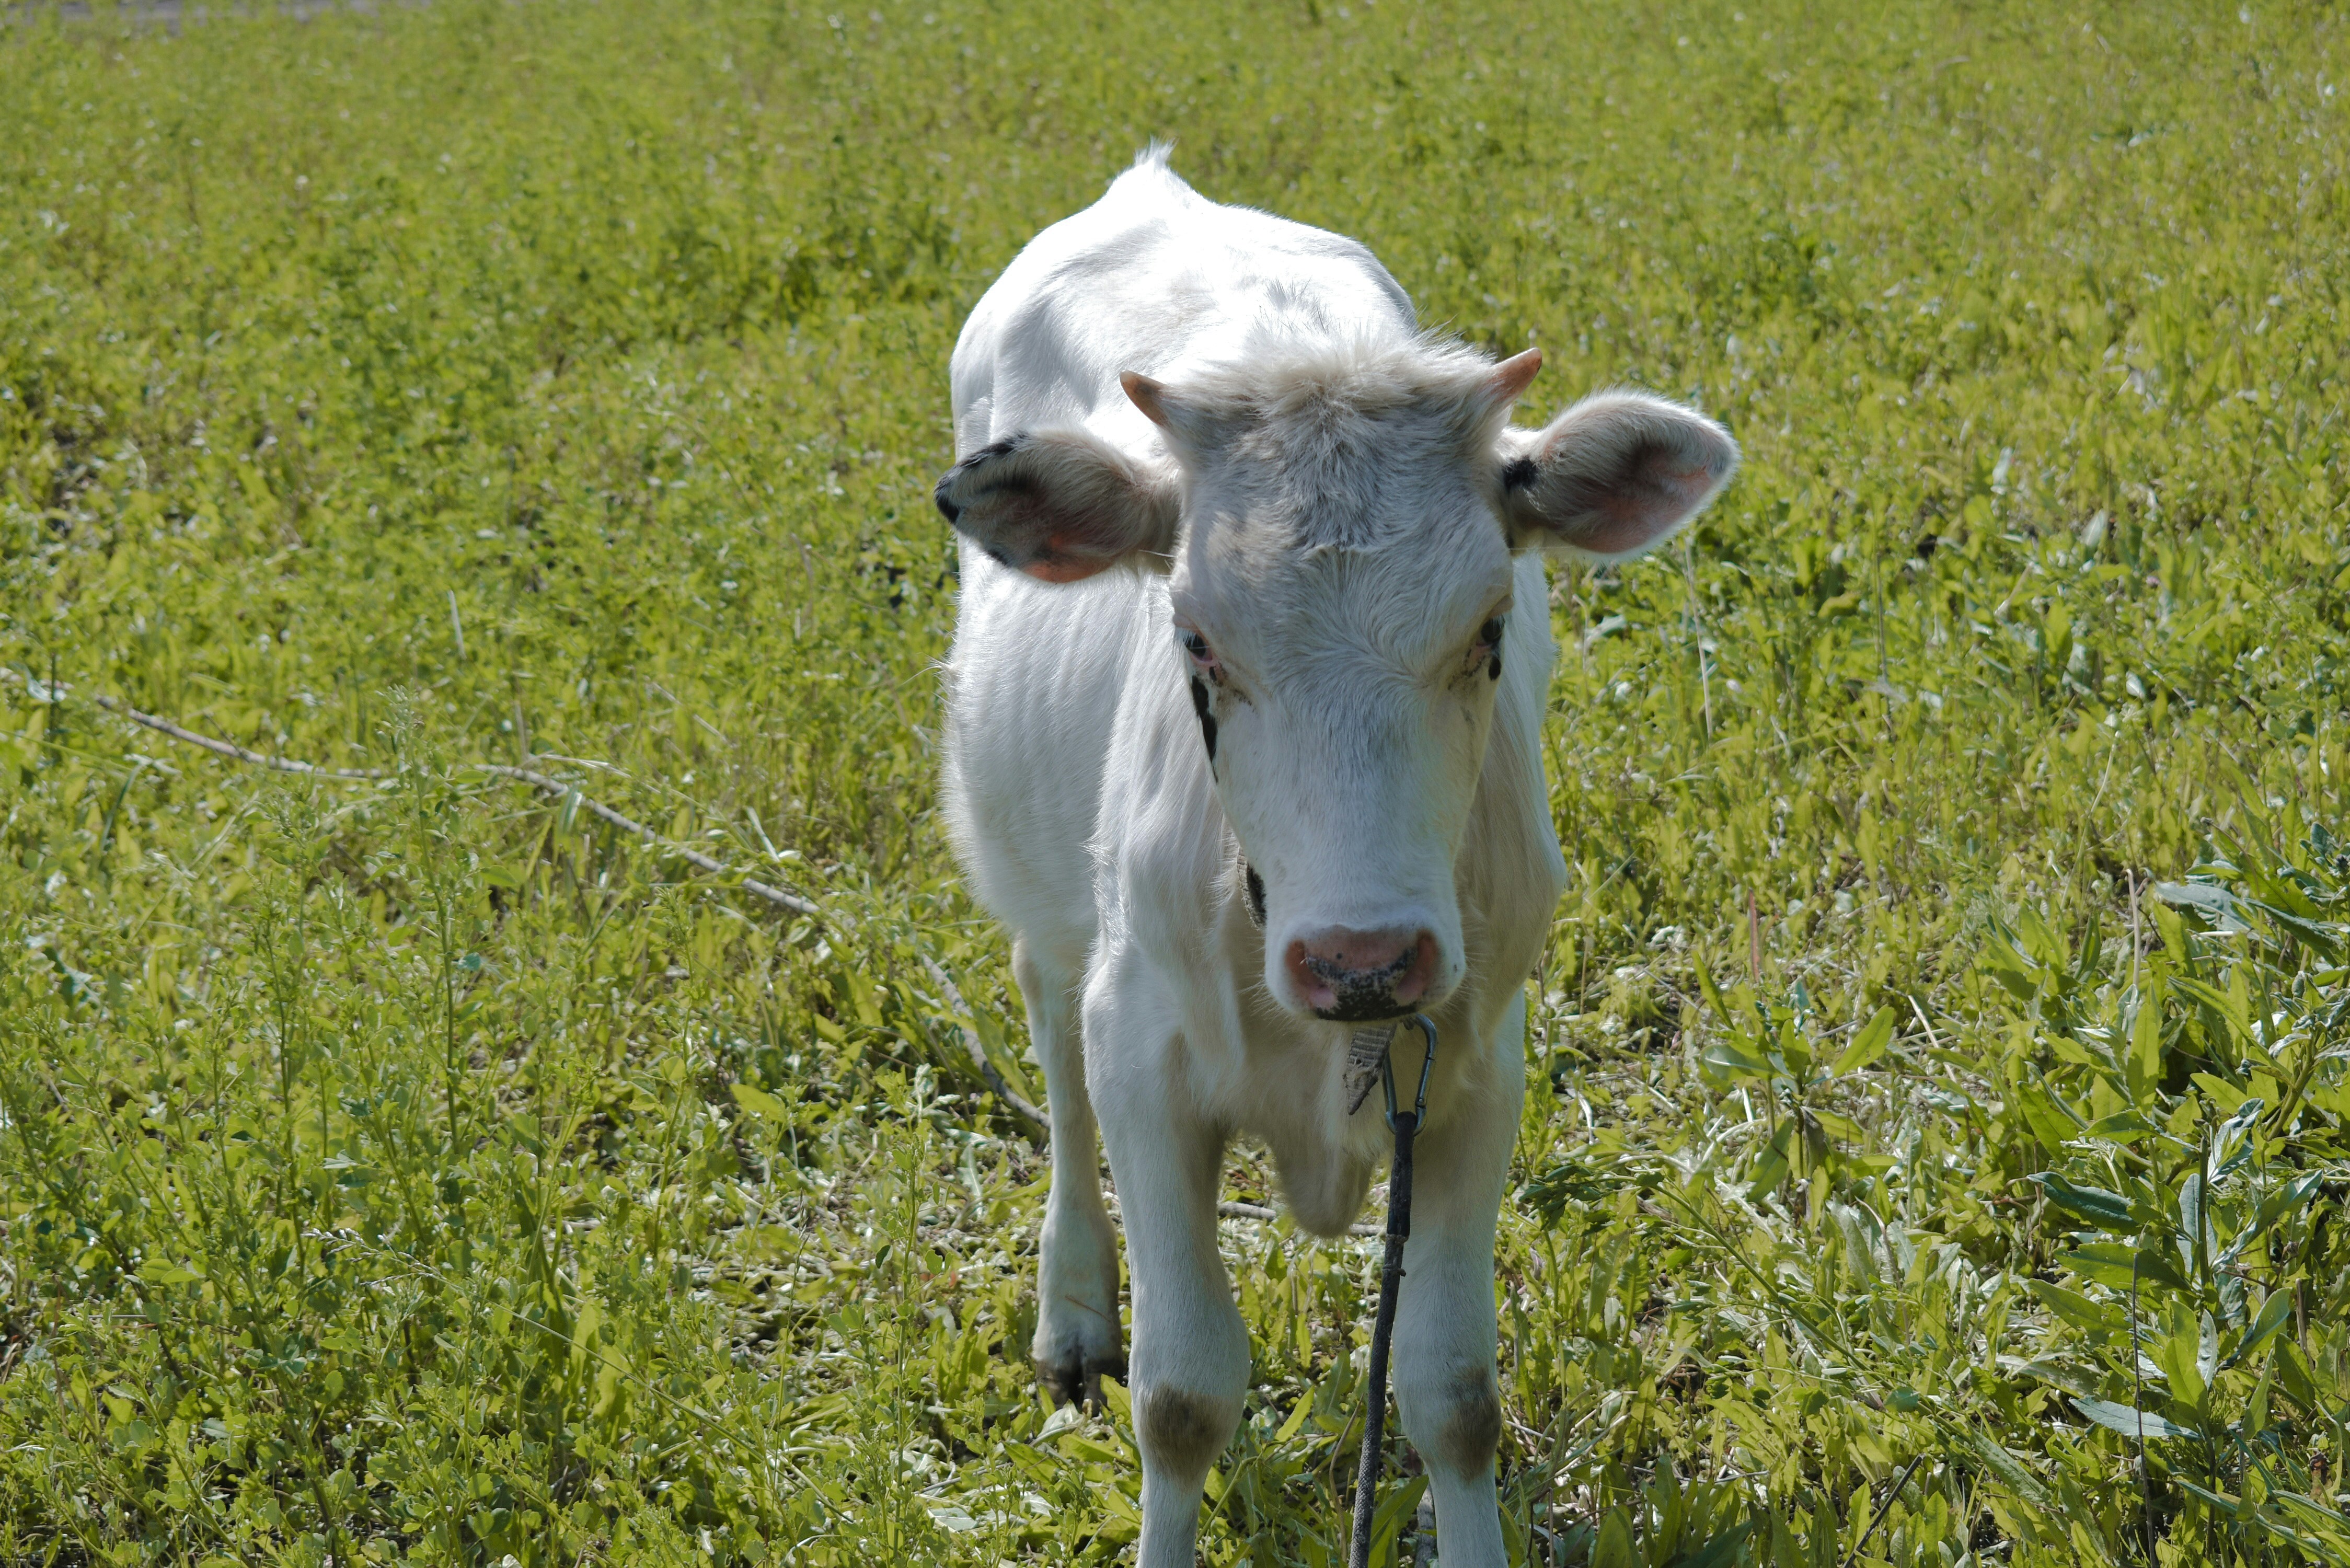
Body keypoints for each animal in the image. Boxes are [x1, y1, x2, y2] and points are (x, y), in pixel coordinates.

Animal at [935, 147, 1736, 1567]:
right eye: (1195, 640)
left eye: (1489, 629)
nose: (1363, 956)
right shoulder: (1145, 1053)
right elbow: (1181, 1396)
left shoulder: (1477, 1065)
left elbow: (1452, 1393)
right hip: (1039, 890)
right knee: (1051, 1042)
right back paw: (1073, 1301)